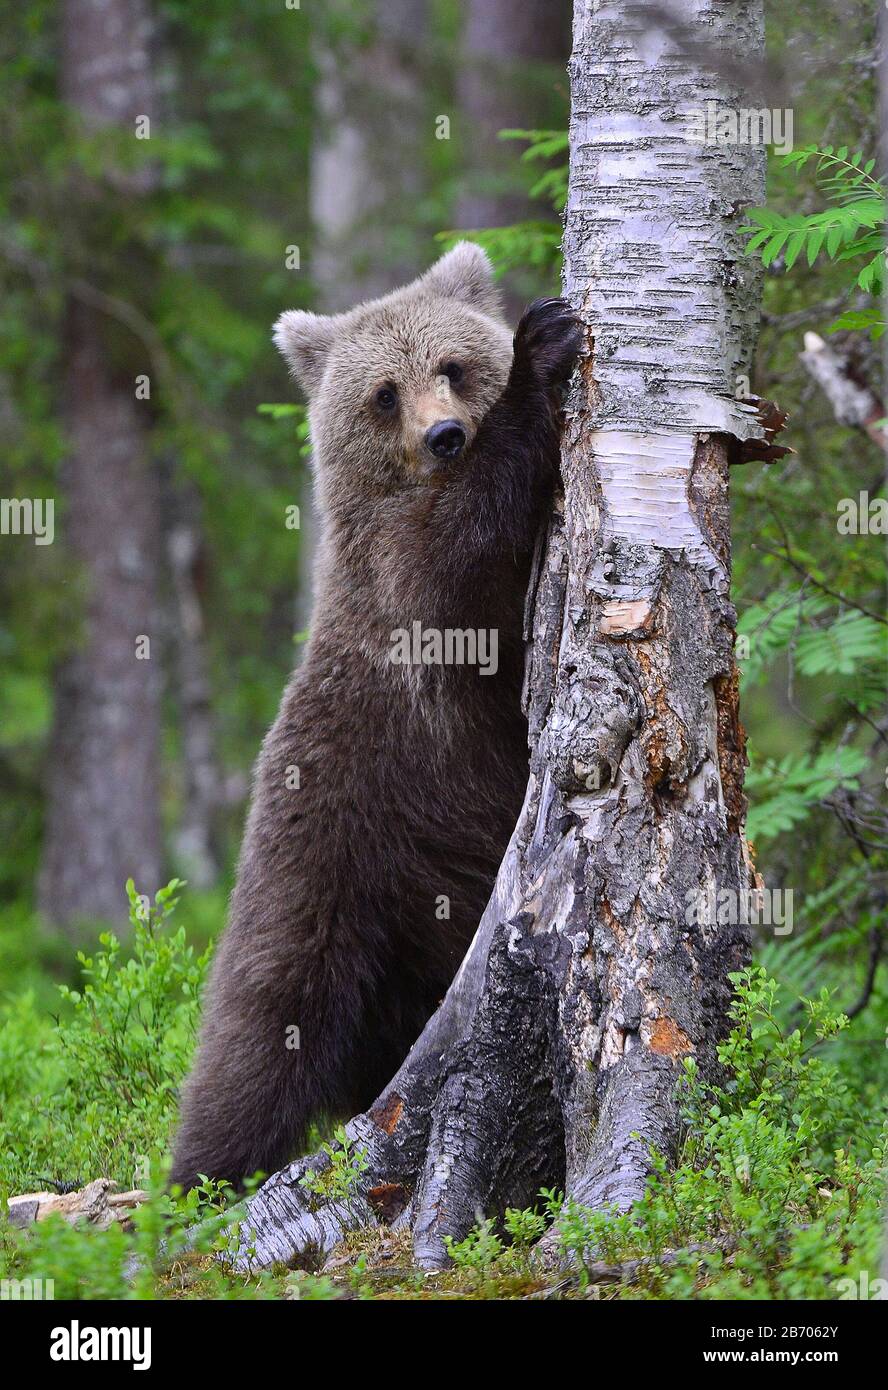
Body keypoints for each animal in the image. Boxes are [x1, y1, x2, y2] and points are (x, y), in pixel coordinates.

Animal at [169, 243, 581, 1192]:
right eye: (384, 393)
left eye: (451, 366)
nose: (445, 434)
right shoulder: (403, 594)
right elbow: (453, 558)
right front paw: (543, 351)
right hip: (317, 872)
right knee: (254, 1048)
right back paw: (194, 1183)